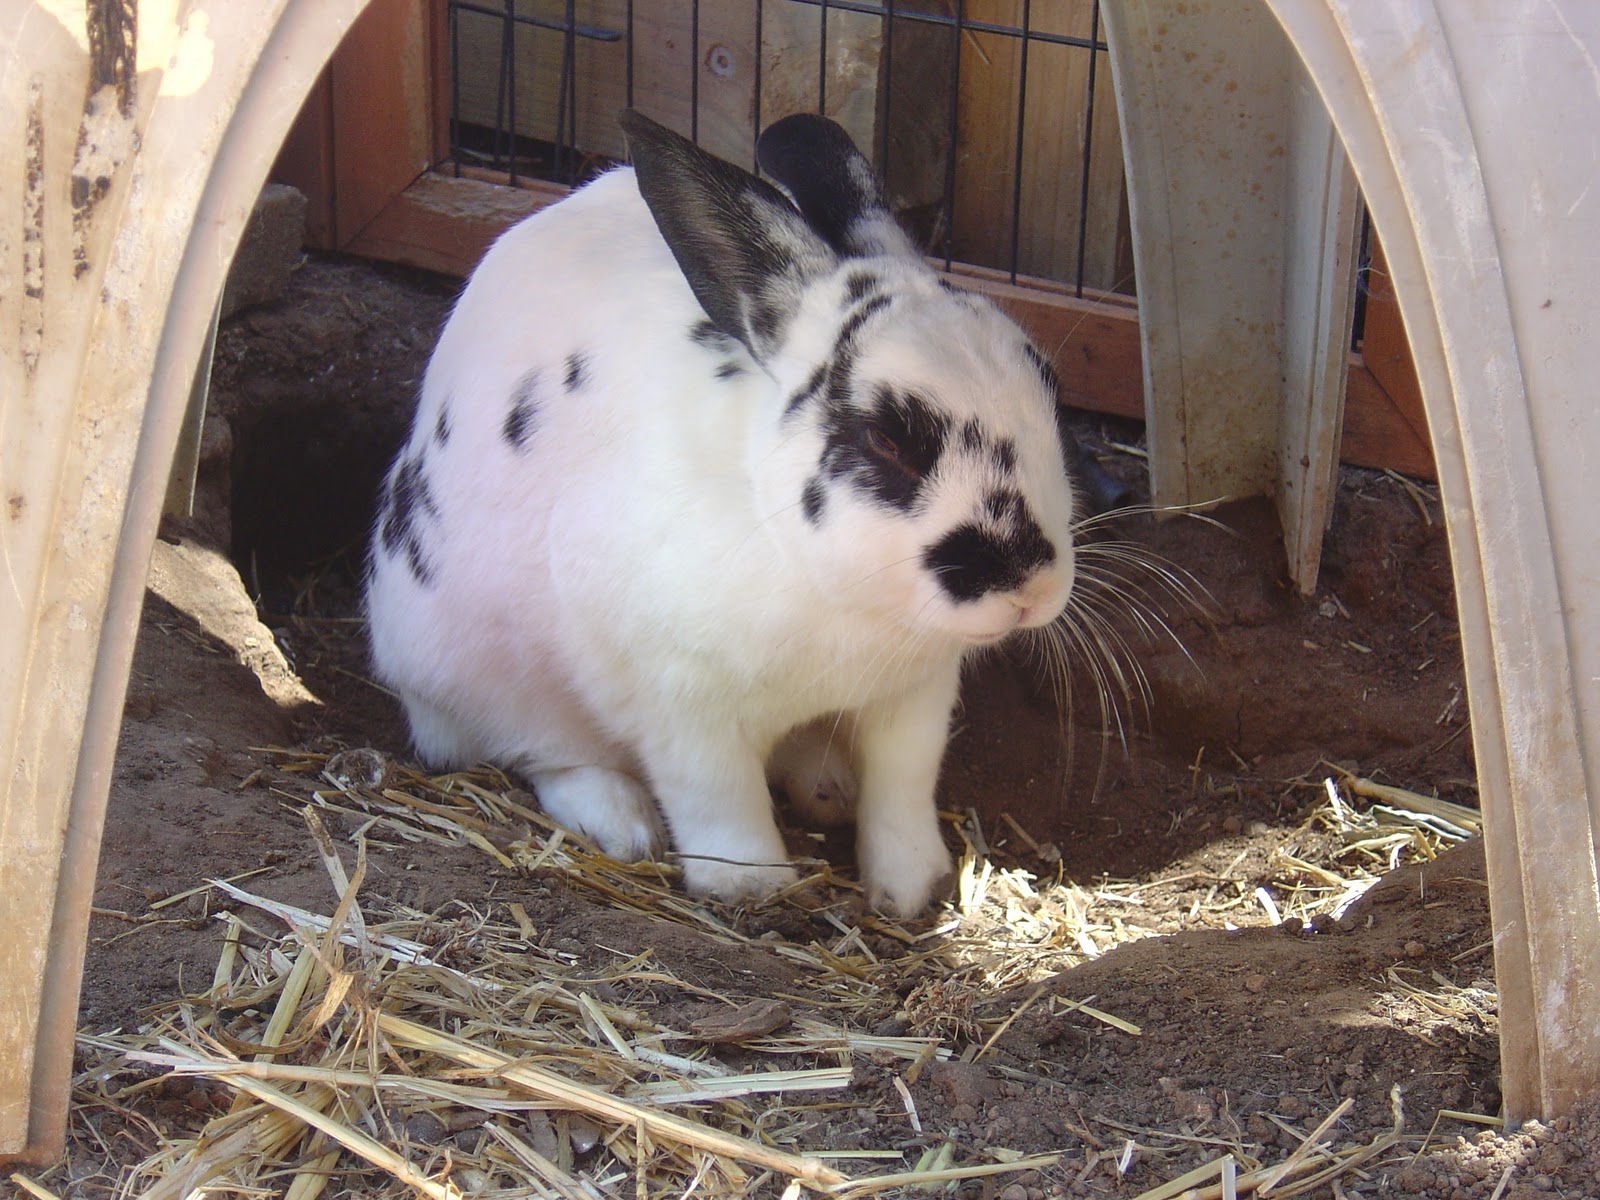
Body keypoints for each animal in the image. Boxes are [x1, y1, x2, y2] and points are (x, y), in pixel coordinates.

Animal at [364, 110, 1078, 917]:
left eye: (1050, 393)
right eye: (887, 438)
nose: (1029, 588)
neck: (840, 598)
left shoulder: (914, 698)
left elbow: (902, 789)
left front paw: (912, 889)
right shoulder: (683, 704)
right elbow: (716, 798)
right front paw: (753, 888)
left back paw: (824, 784)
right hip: (483, 677)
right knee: (543, 752)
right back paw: (624, 822)